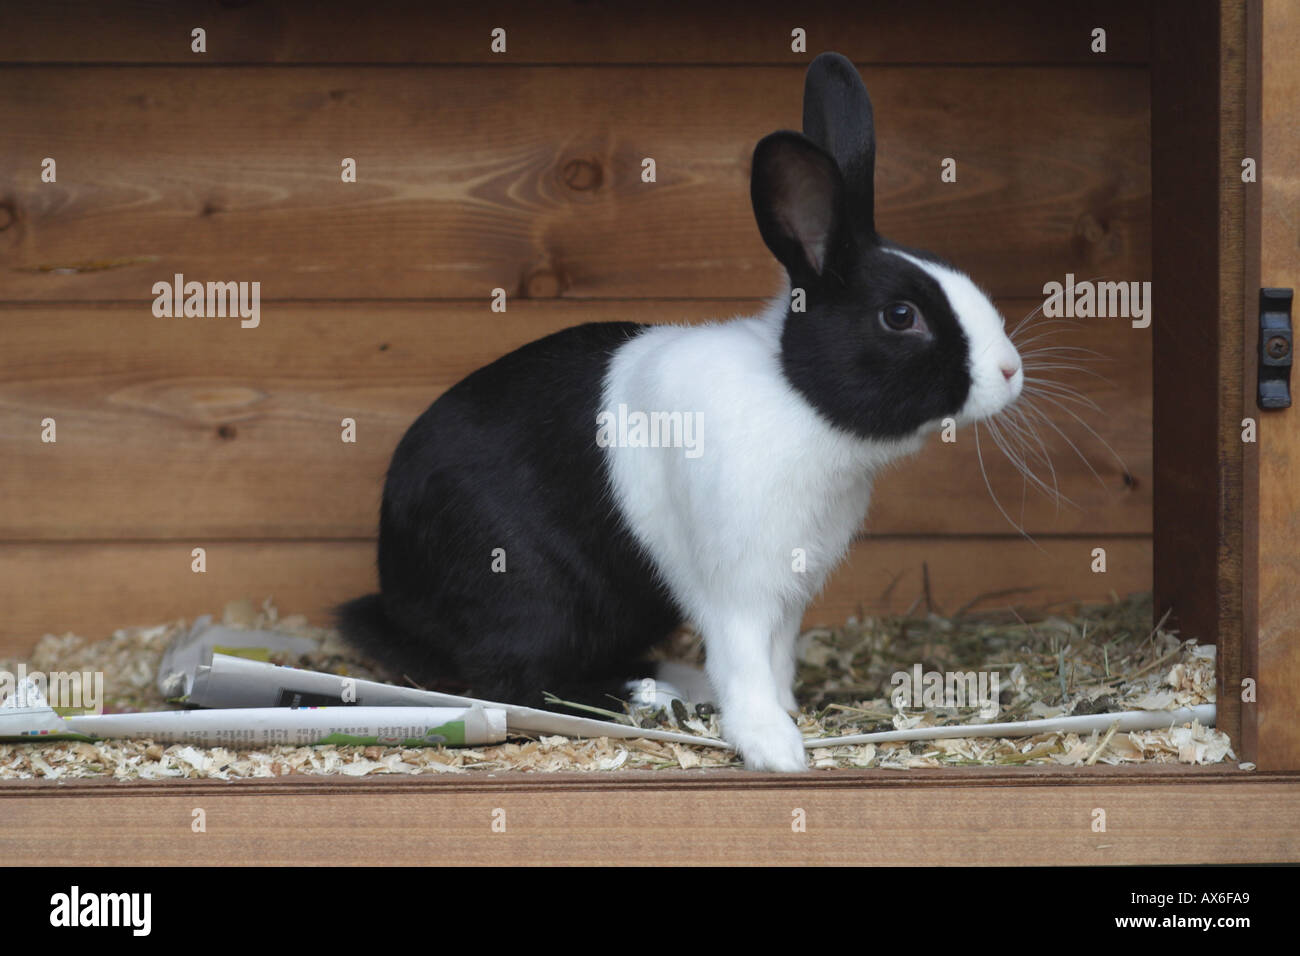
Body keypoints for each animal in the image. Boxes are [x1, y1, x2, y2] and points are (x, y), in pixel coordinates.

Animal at [336, 51, 1023, 772]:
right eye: (901, 315)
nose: (1010, 371)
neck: (795, 398)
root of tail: (397, 594)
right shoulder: (738, 588)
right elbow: (745, 660)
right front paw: (775, 747)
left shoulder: (787, 595)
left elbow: (775, 660)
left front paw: (786, 713)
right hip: (526, 595)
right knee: (519, 683)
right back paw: (647, 696)